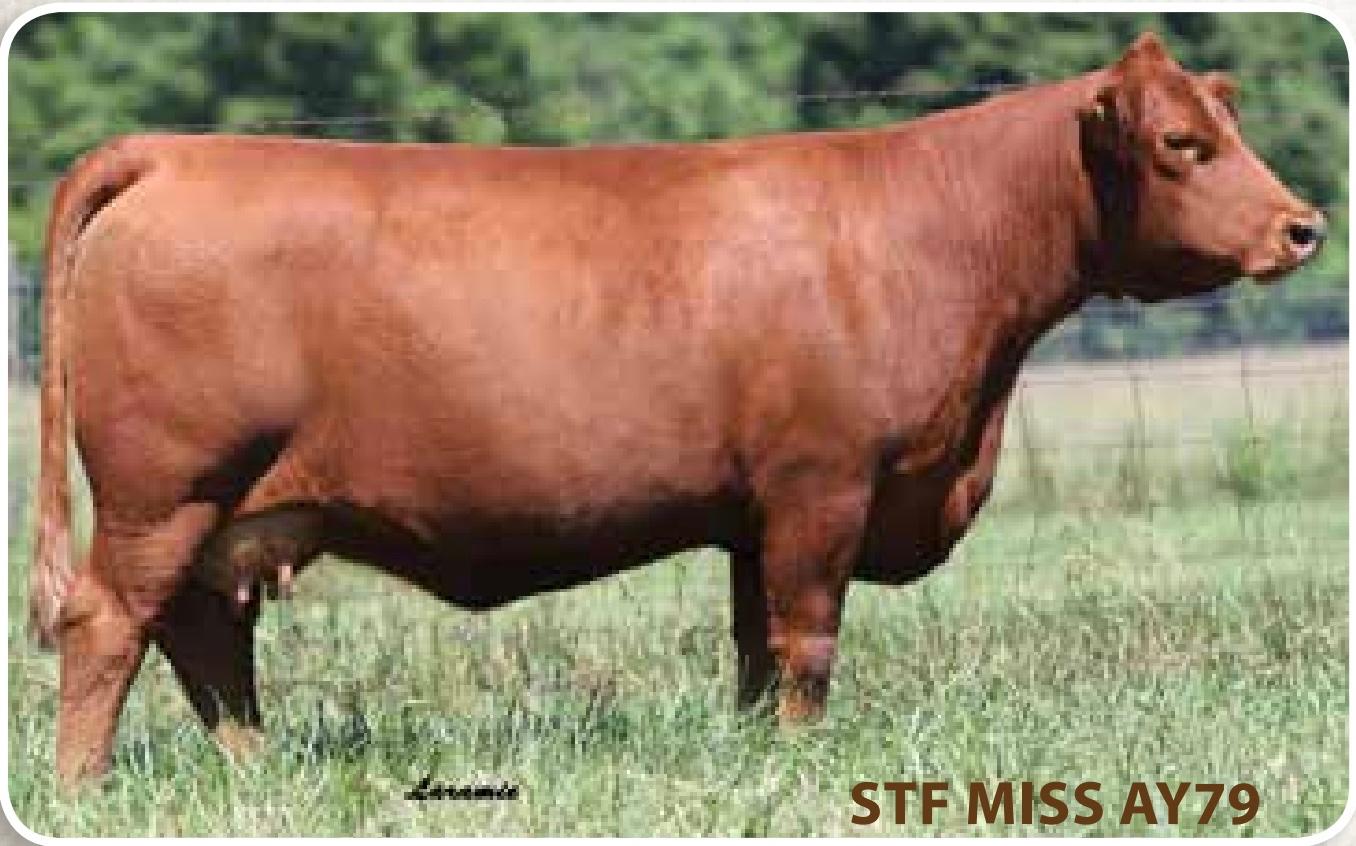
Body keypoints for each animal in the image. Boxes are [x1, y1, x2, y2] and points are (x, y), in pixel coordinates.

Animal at [30, 32, 1325, 787]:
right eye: (1183, 142)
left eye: (1229, 128)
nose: (1303, 226)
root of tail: (176, 152)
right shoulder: (822, 486)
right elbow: (809, 641)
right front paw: (804, 766)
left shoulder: (757, 514)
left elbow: (755, 647)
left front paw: (757, 759)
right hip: (164, 490)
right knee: (110, 625)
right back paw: (82, 790)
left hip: (224, 511)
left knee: (203, 635)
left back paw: (257, 775)